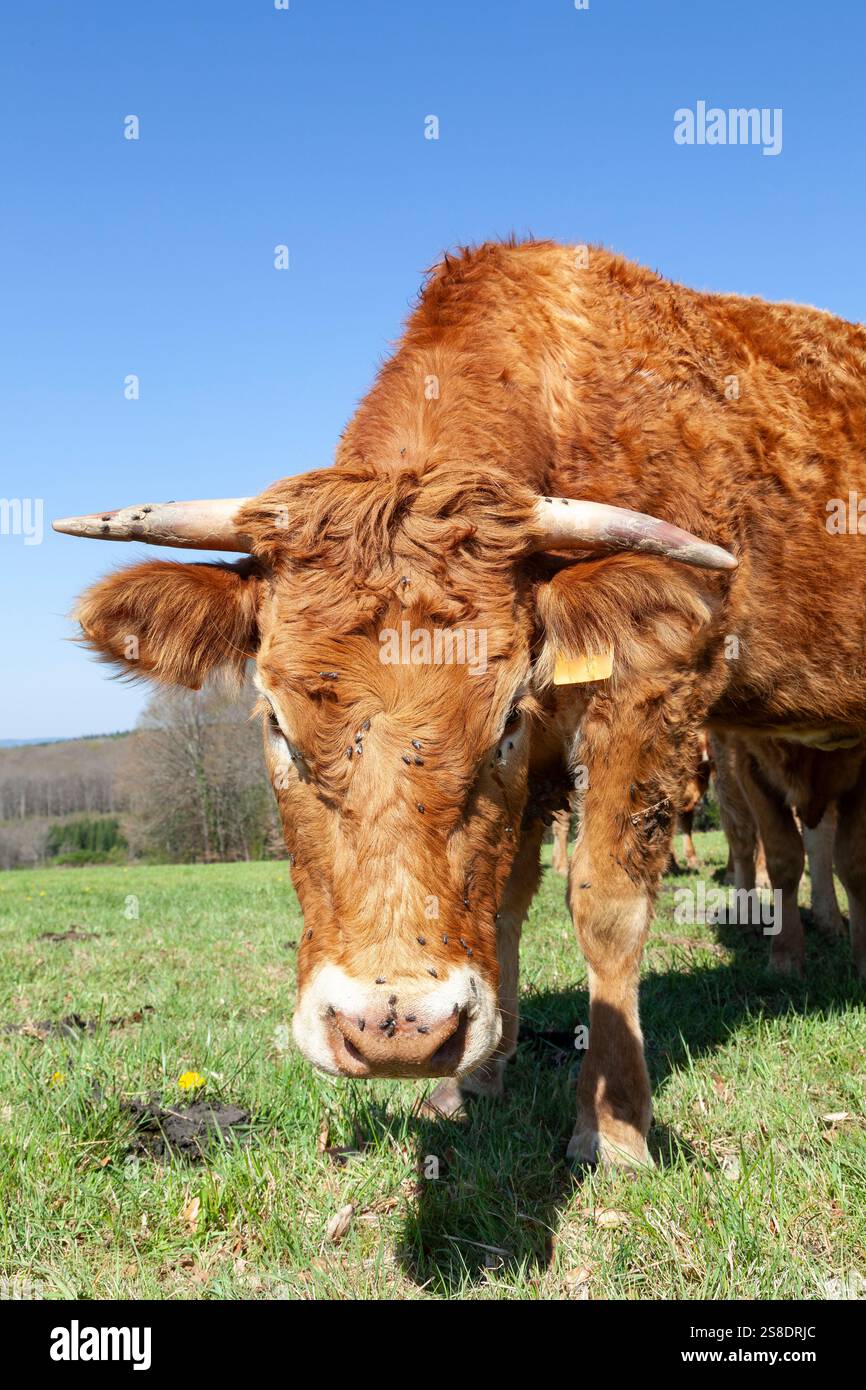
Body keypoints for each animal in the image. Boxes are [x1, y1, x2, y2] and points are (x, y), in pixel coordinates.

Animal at [54, 239, 866, 1168]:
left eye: (503, 719)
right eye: (277, 727)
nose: (395, 1029)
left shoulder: (653, 694)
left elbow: (607, 902)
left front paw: (614, 1122)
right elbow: (506, 895)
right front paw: (474, 1079)